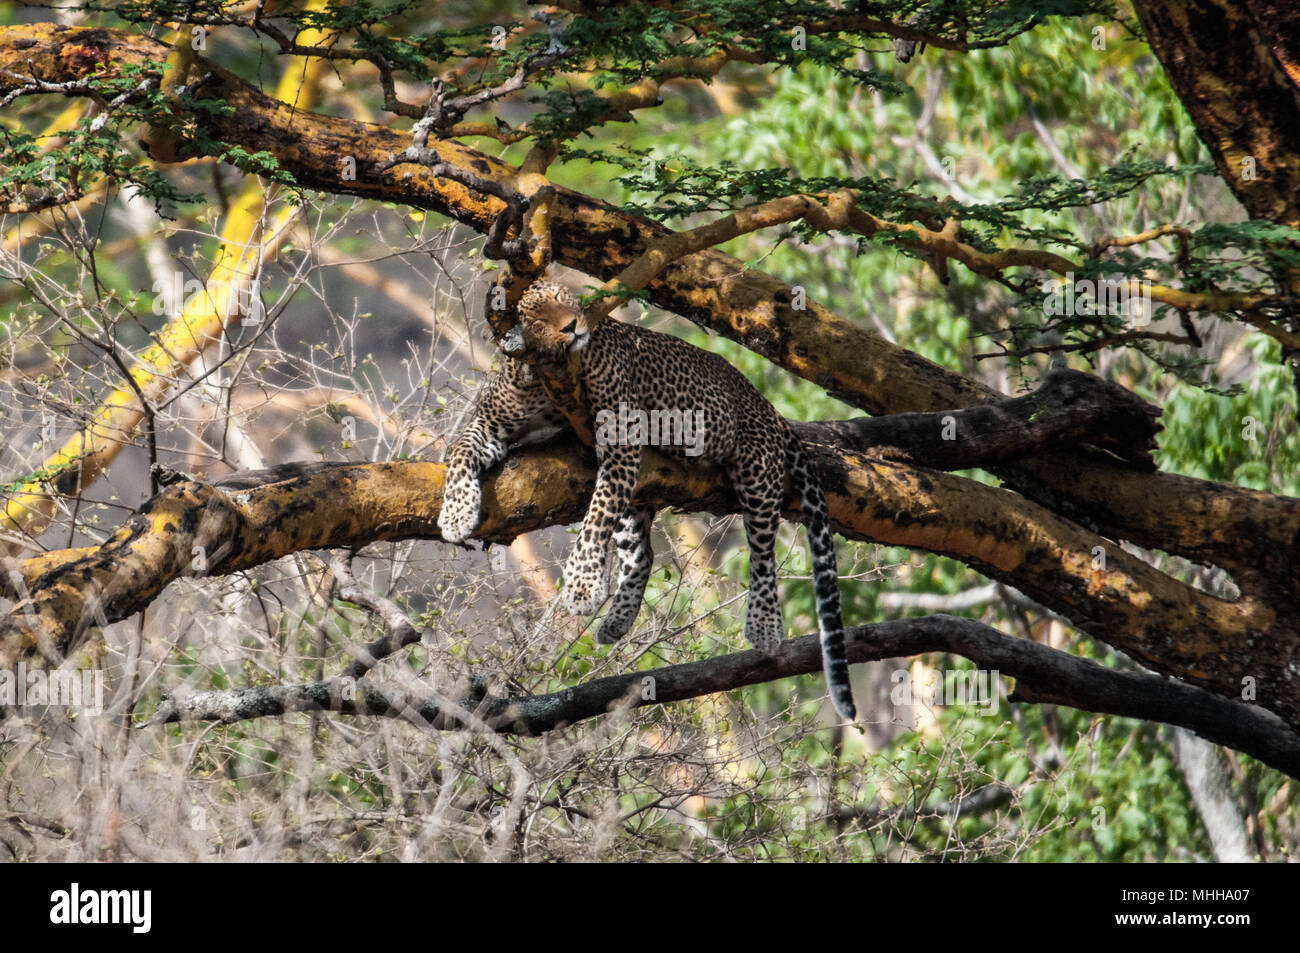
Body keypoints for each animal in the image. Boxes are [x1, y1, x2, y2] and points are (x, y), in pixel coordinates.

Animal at [438, 281, 857, 721]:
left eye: (562, 297)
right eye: (533, 316)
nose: (572, 326)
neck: (540, 379)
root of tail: (766, 405)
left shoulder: (620, 443)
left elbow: (595, 519)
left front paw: (583, 584)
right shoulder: (488, 426)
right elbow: (459, 454)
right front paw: (455, 514)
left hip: (756, 467)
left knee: (763, 552)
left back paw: (765, 625)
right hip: (641, 497)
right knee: (644, 554)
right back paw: (617, 622)